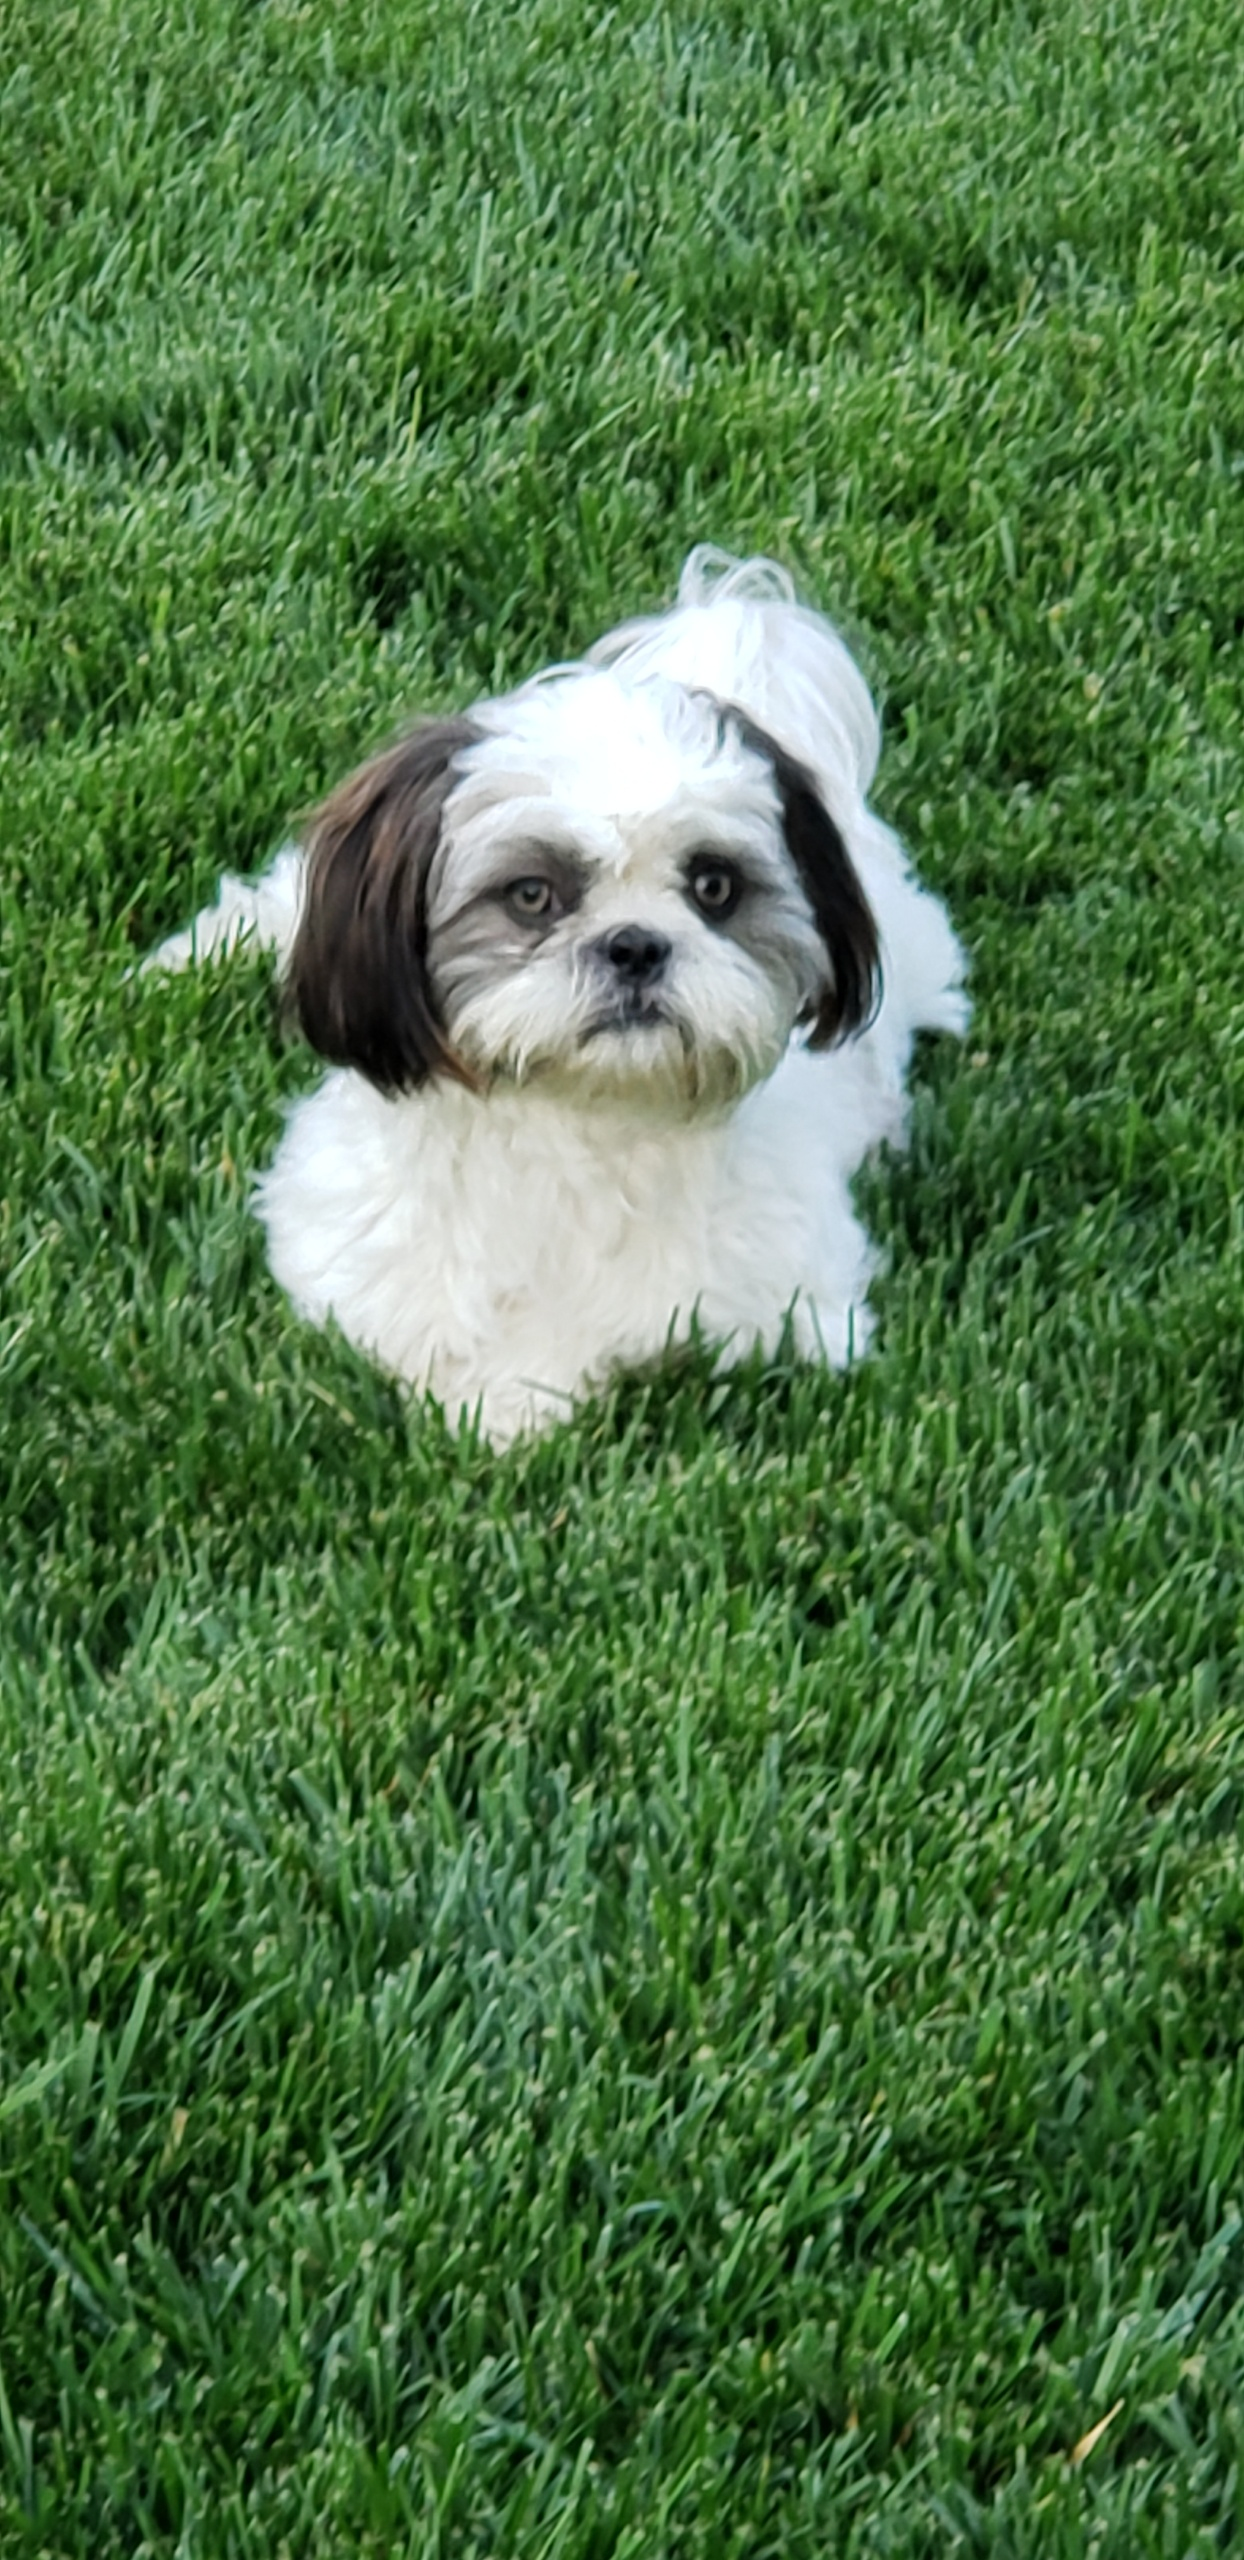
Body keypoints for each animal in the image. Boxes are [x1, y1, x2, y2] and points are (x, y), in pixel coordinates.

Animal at [149, 548, 967, 1444]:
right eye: (533, 895)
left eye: (714, 887)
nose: (636, 945)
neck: (582, 1123)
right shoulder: (355, 1258)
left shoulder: (785, 1305)